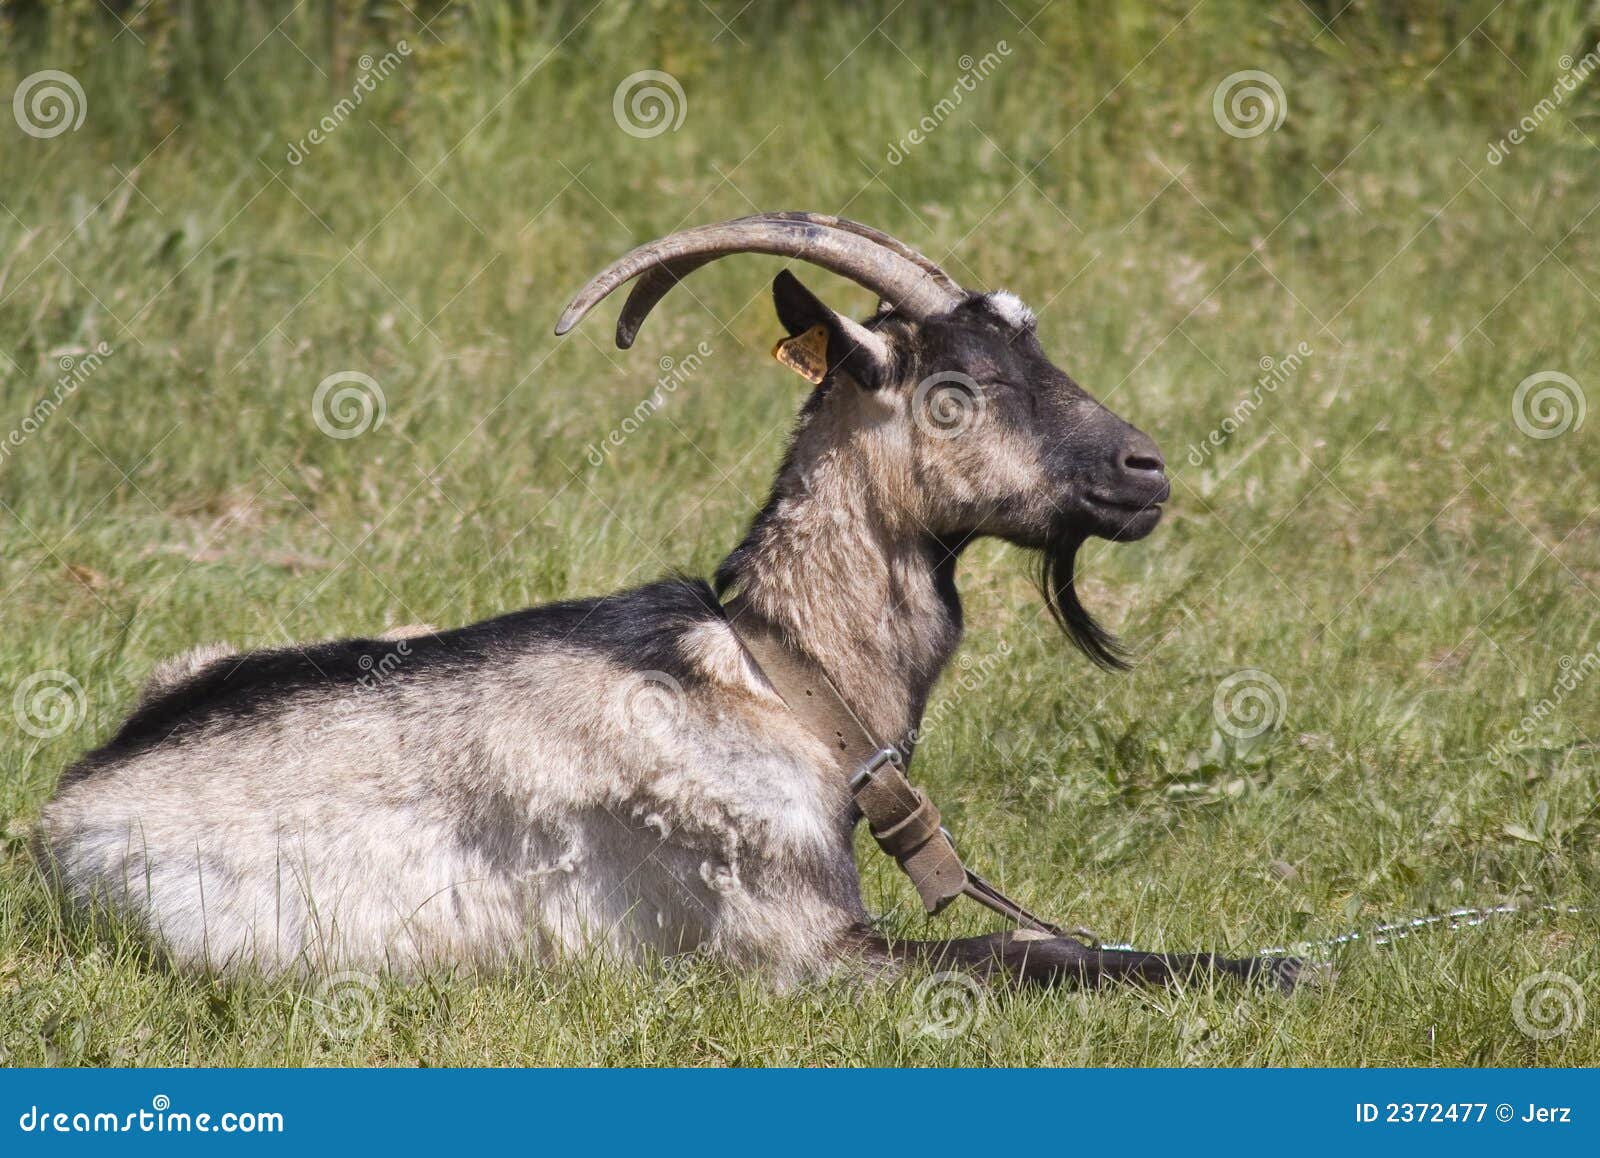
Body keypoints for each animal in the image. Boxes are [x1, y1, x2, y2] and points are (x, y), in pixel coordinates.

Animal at [36, 213, 1299, 990]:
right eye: (962, 384)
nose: (1144, 470)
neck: (784, 677)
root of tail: (65, 809)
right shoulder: (803, 947)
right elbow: (1037, 956)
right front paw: (1283, 968)